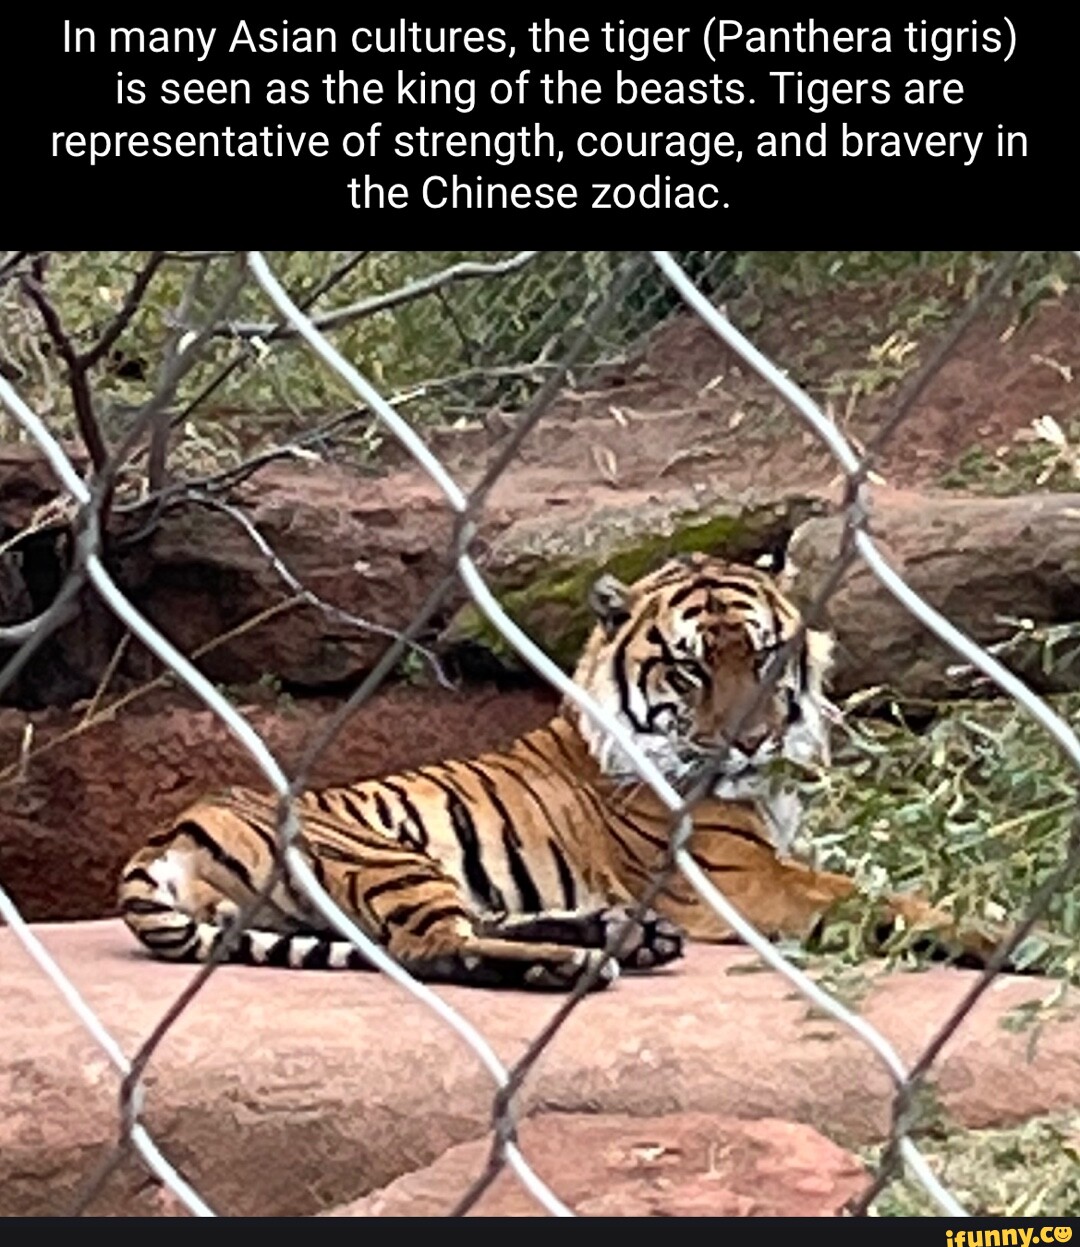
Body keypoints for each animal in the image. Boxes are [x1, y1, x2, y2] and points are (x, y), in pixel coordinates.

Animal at [118, 552, 999, 991]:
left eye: (764, 656)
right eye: (690, 668)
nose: (750, 743)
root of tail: (162, 839)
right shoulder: (742, 878)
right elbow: (878, 898)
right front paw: (999, 936)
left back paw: (620, 934)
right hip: (387, 856)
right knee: (433, 946)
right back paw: (580, 960)